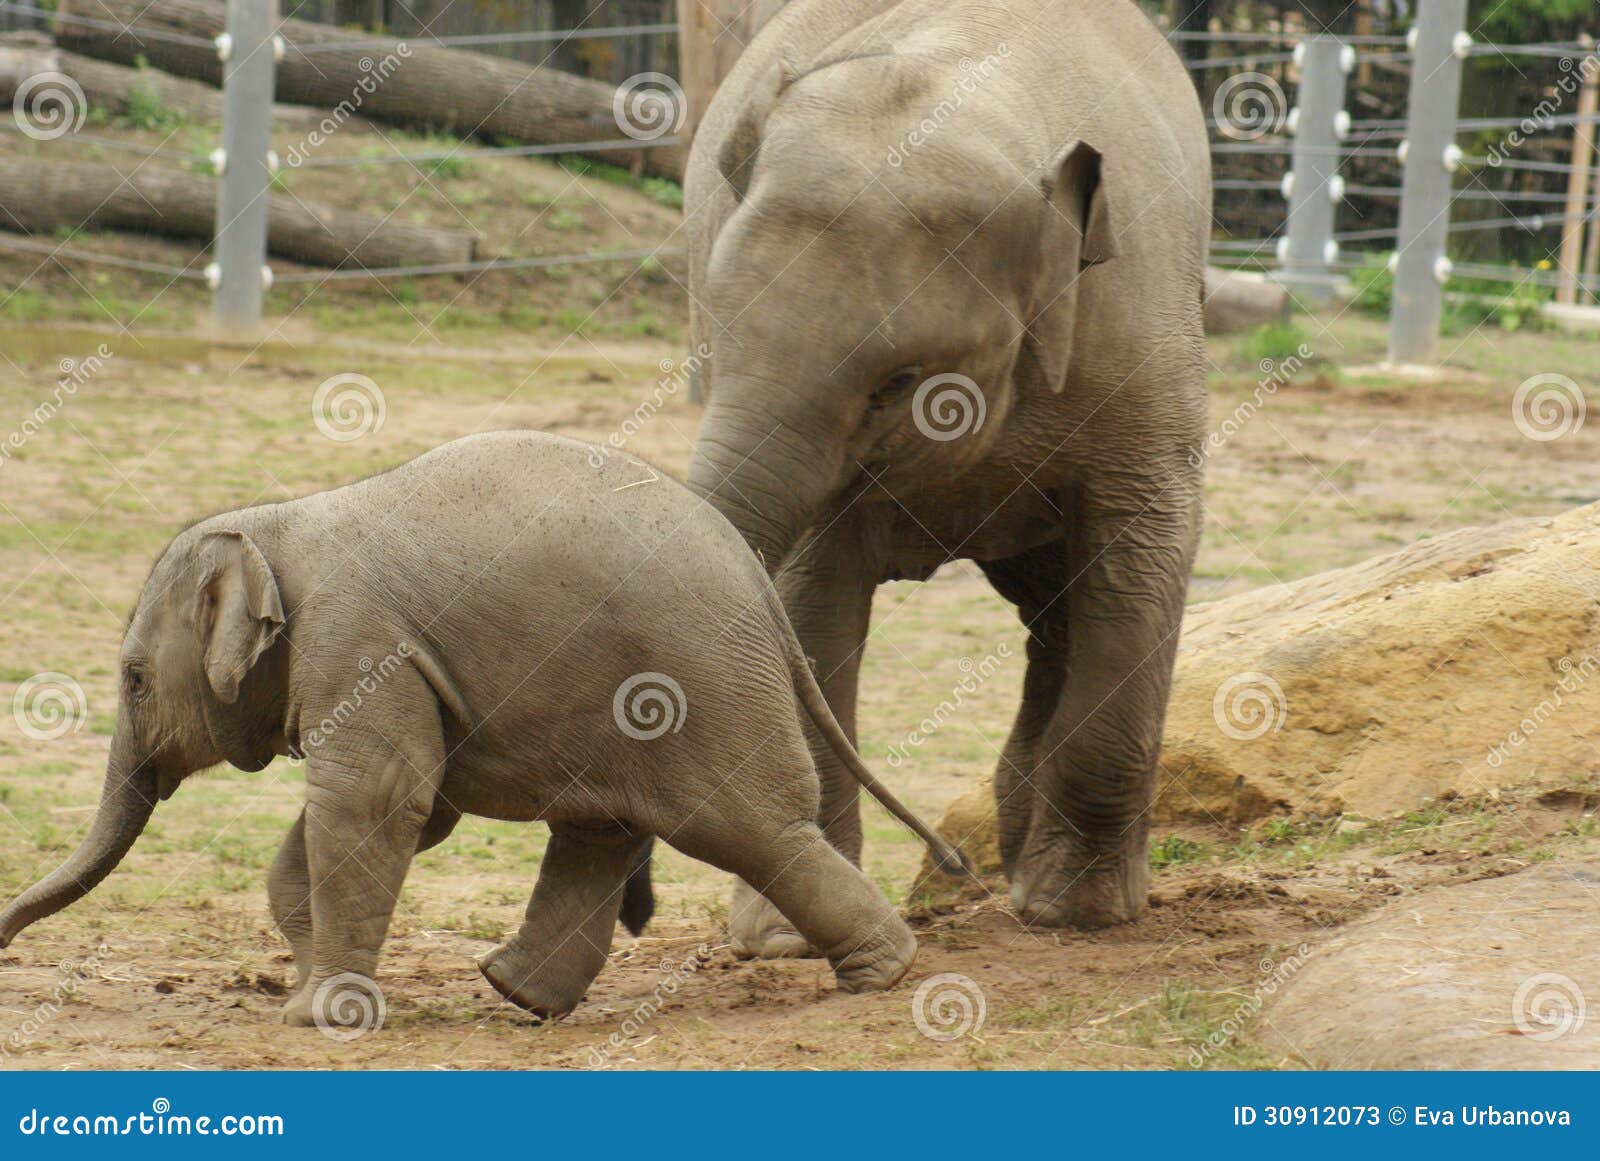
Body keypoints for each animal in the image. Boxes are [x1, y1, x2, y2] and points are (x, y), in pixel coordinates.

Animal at [0, 431, 965, 1025]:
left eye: (131, 679)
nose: (4, 943)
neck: (281, 521)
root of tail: (759, 579)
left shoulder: (360, 642)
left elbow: (381, 799)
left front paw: (321, 1017)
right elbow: (414, 810)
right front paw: (308, 997)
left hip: (702, 682)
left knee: (751, 827)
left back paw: (883, 975)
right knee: (603, 829)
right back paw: (519, 993)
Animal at [682, 0, 1210, 942]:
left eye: (896, 383)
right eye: (715, 339)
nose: (951, 859)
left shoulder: (1141, 342)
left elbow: (1143, 550)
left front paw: (1076, 914)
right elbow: (807, 591)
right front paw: (786, 938)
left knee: (1063, 608)